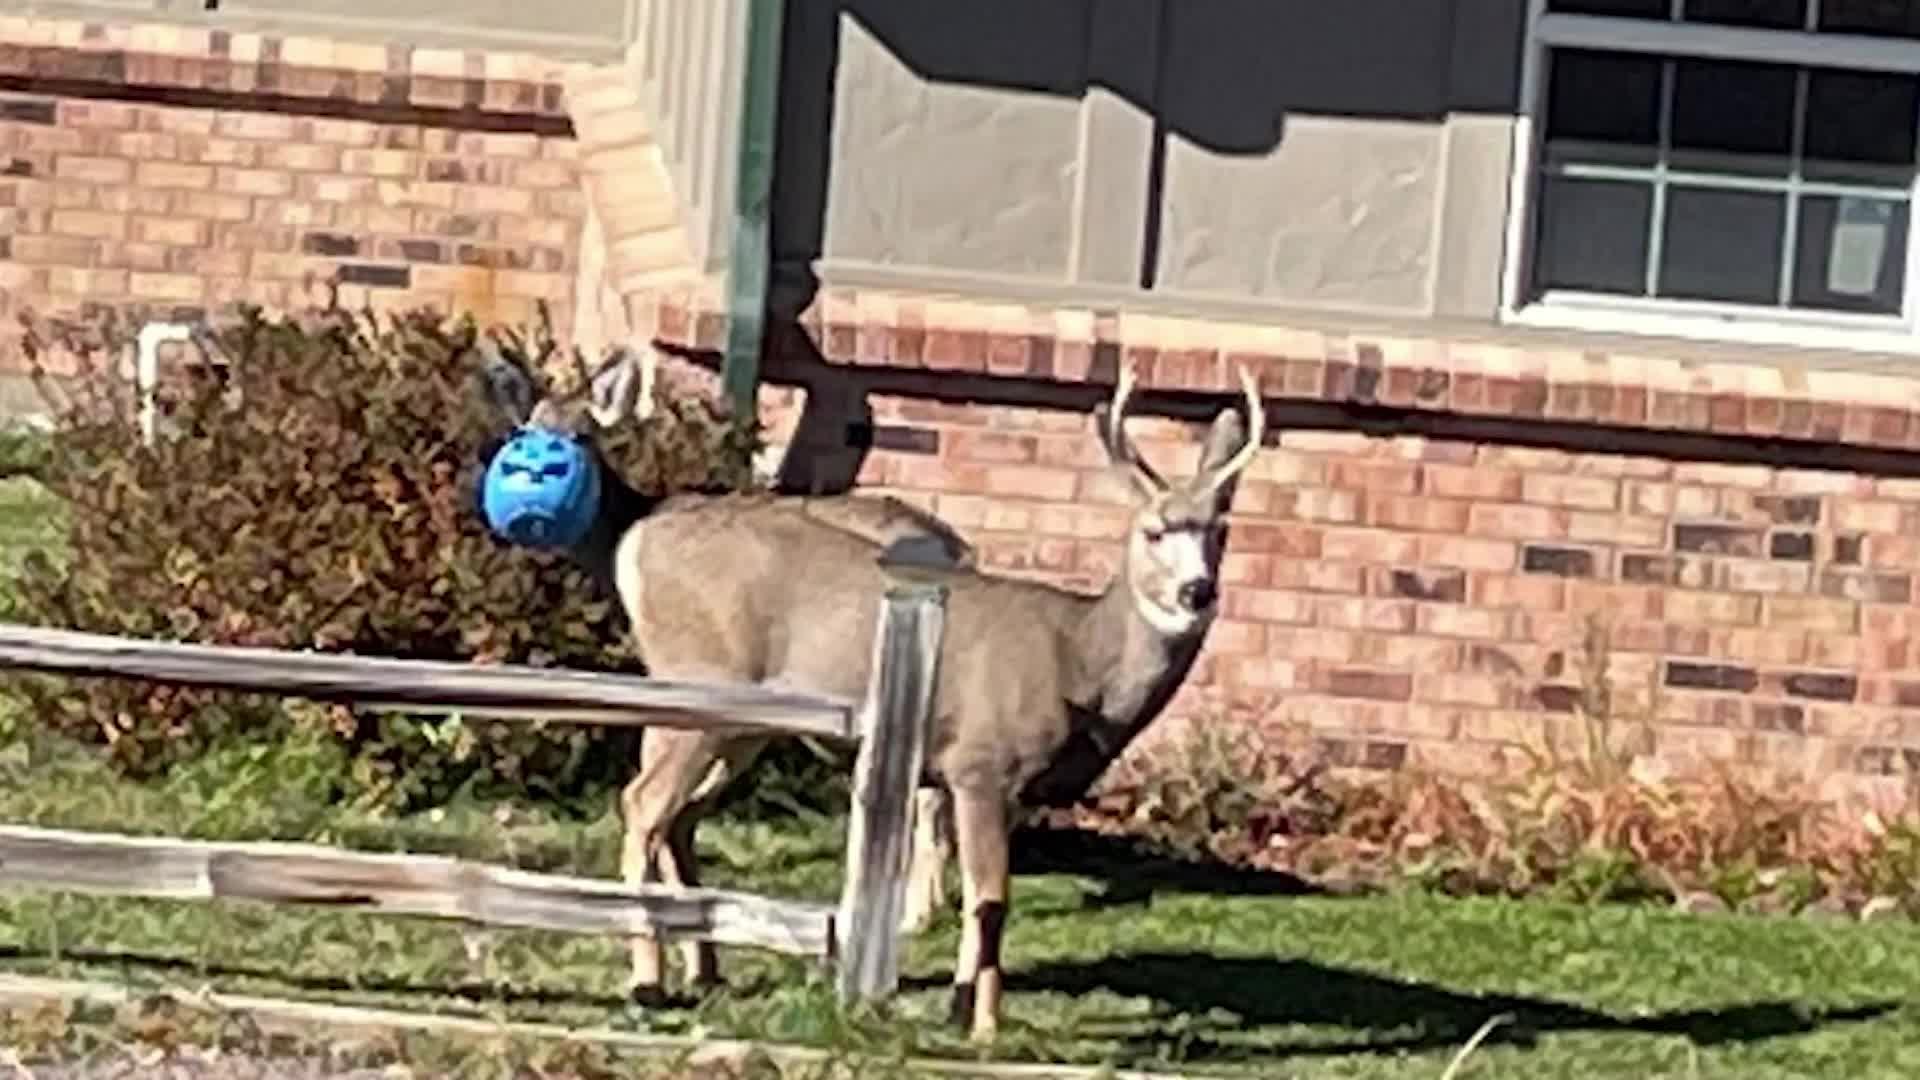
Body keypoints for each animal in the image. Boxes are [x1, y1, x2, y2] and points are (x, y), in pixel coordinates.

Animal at [473, 343, 1263, 1041]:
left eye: (1219, 530)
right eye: (1154, 531)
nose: (1198, 591)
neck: (1081, 661)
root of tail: (637, 540)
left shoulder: (999, 782)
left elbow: (981, 896)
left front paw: (957, 1005)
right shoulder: (982, 762)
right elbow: (992, 899)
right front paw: (985, 1024)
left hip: (739, 723)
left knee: (679, 818)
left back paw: (706, 969)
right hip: (694, 689)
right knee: (643, 806)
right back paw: (648, 977)